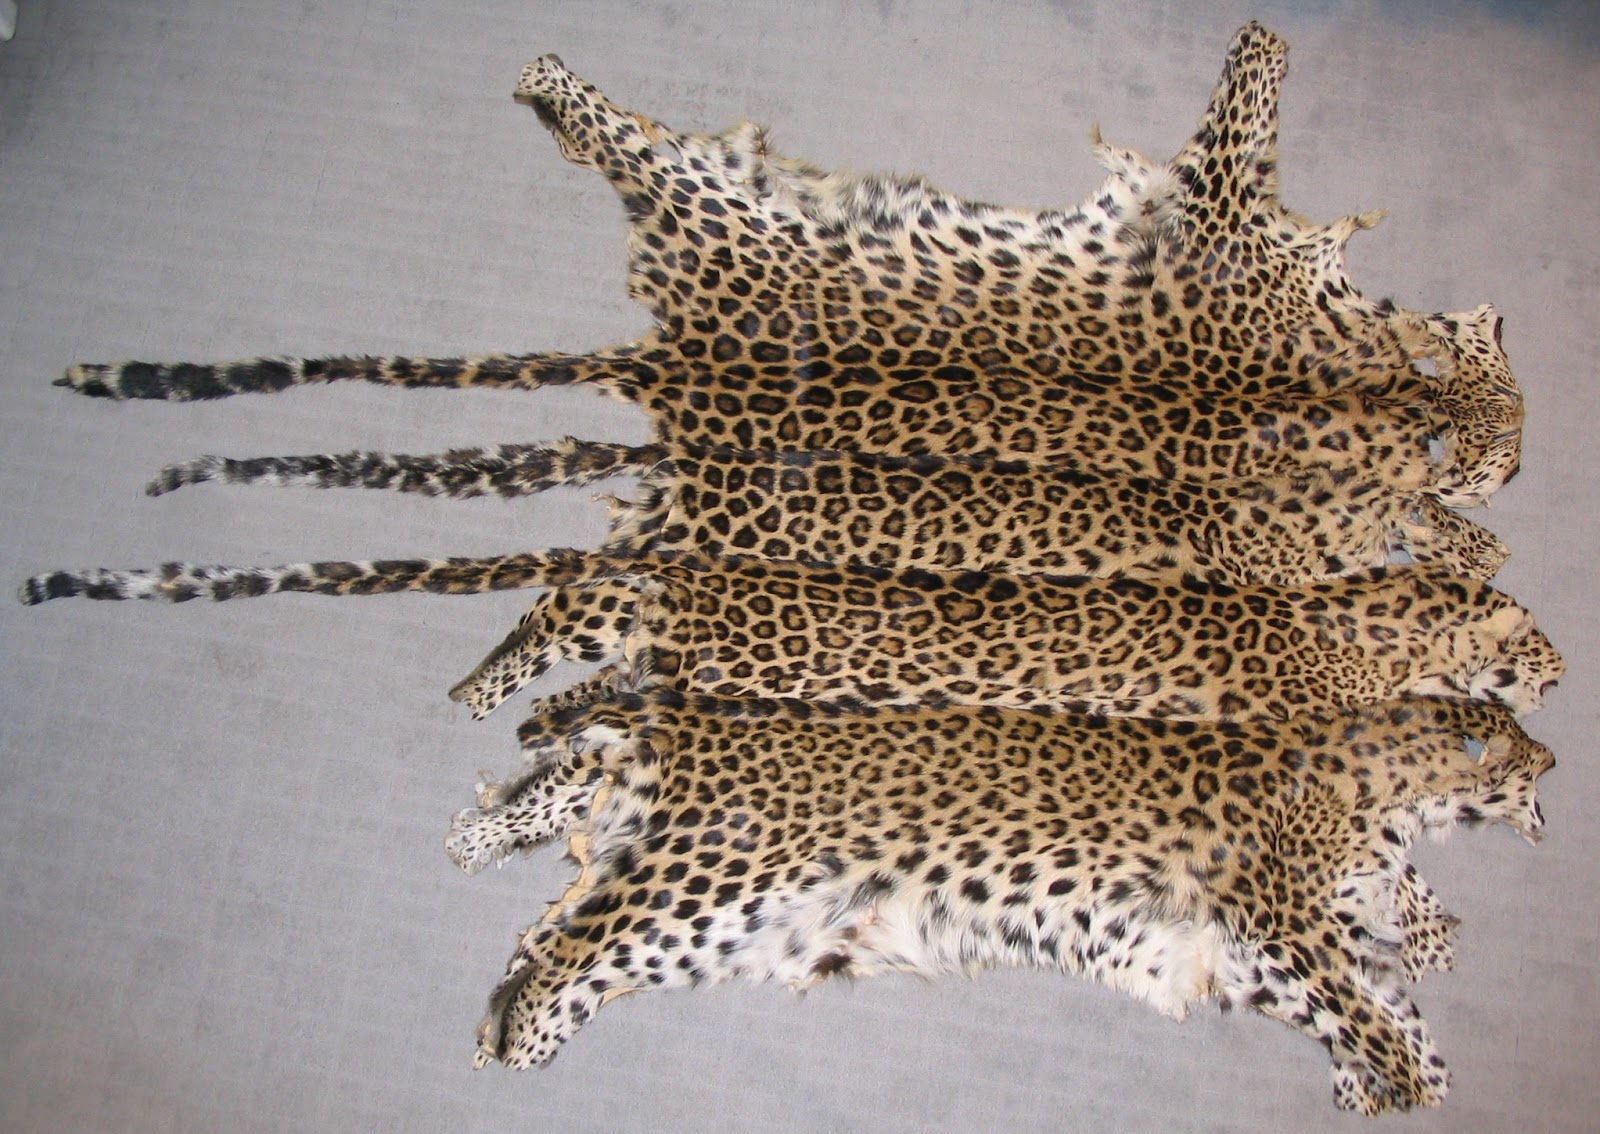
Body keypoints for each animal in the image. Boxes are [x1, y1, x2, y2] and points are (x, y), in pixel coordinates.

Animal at [52, 24, 1521, 507]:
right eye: (1490, 342)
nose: (1510, 439)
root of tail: (689, 364)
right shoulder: (1224, 201)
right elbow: (1255, 76)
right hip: (702, 195)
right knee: (588, 110)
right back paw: (540, 73)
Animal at [447, 688, 1553, 1115]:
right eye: (1520, 749)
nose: (1551, 759)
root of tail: (679, 720)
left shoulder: (1254, 956)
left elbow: (1386, 1017)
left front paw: (1380, 1084)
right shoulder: (1282, 922)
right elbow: (1376, 1019)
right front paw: (1398, 1084)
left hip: (724, 918)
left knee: (546, 923)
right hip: (711, 884)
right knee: (562, 951)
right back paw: (516, 1037)